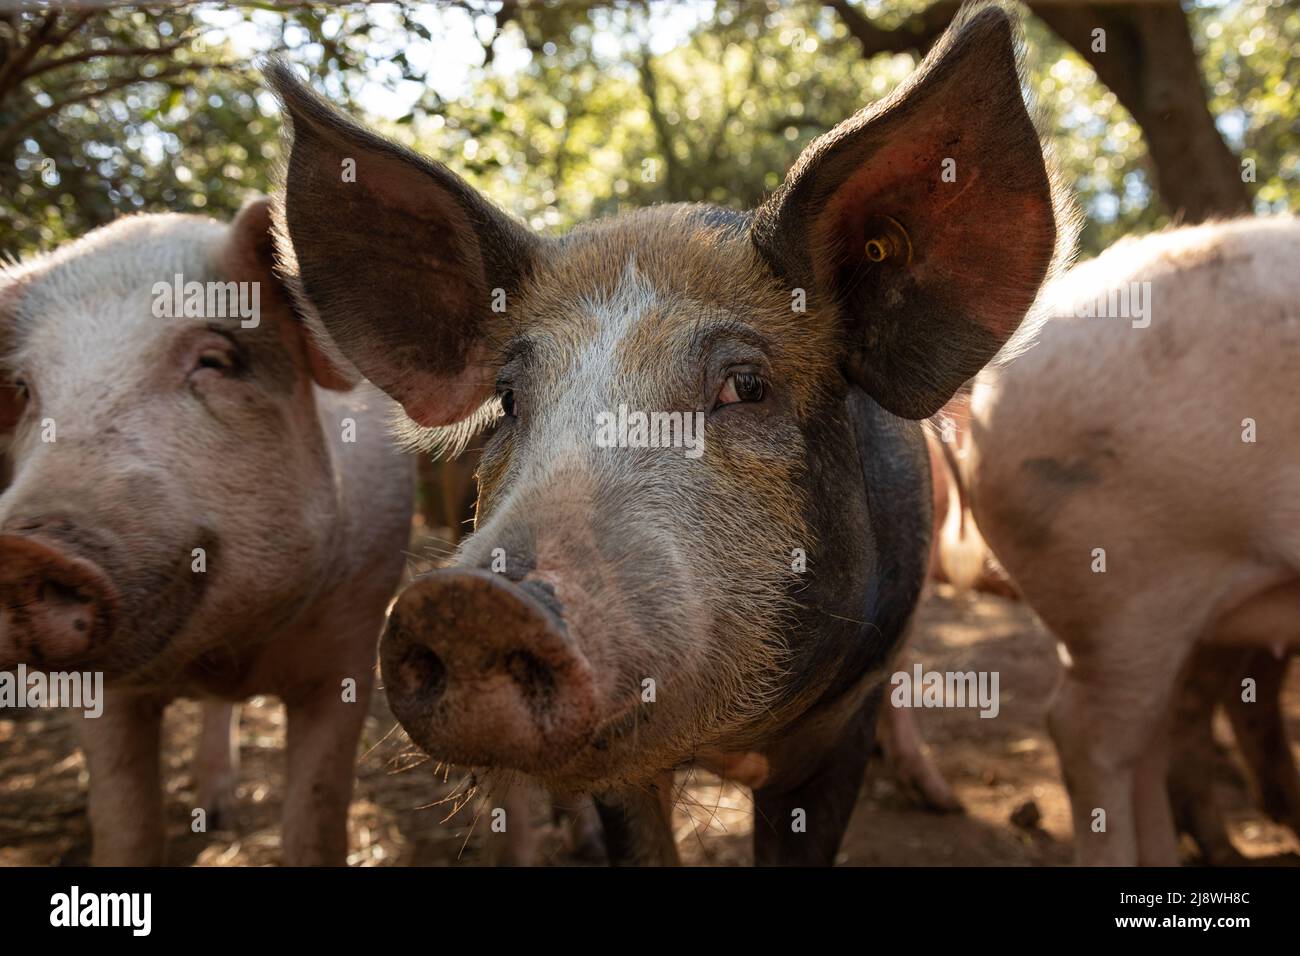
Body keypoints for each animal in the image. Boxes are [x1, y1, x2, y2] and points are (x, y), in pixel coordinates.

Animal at [0, 199, 412, 865]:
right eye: (24, 388)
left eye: (218, 360)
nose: (22, 550)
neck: (226, 651)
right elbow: (125, 822)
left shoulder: (355, 635)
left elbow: (317, 815)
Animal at [269, 5, 1066, 865]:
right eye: (510, 398)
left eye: (745, 384)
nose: (468, 603)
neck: (723, 741)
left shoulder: (840, 725)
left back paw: (938, 798)